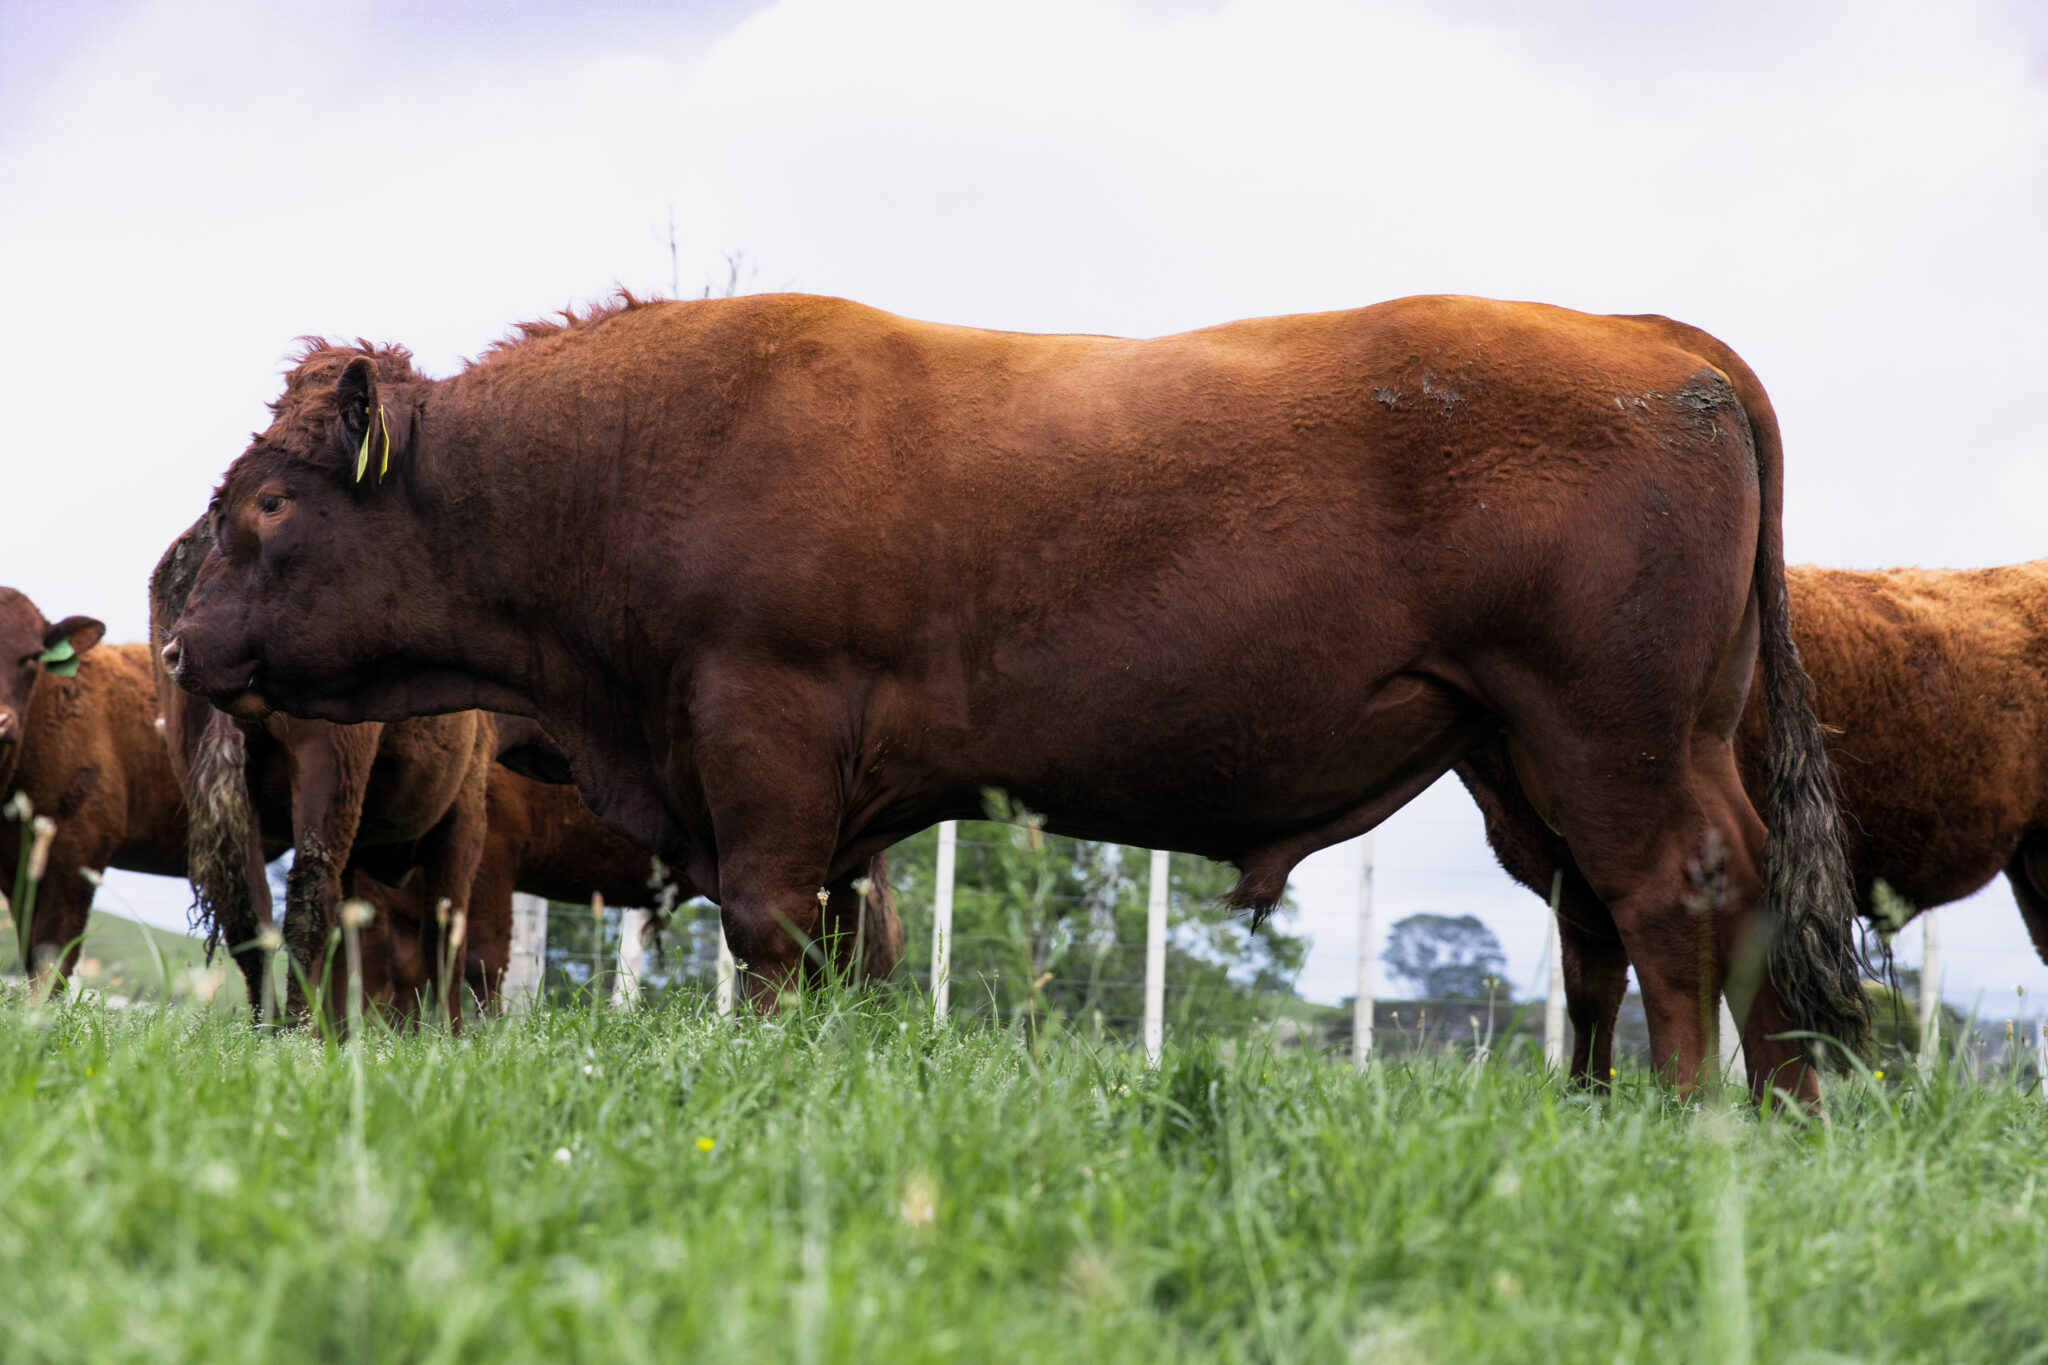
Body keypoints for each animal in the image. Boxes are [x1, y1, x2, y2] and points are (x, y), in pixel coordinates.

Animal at [162, 291, 1867, 1099]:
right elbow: (840, 943)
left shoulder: (764, 733)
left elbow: (772, 932)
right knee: (1666, 912)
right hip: (1566, 747)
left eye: (265, 504)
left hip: (1606, 732)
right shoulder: (835, 804)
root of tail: (1652, 339)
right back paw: (1758, 1112)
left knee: (1674, 897)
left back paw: (1683, 1119)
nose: (176, 640)